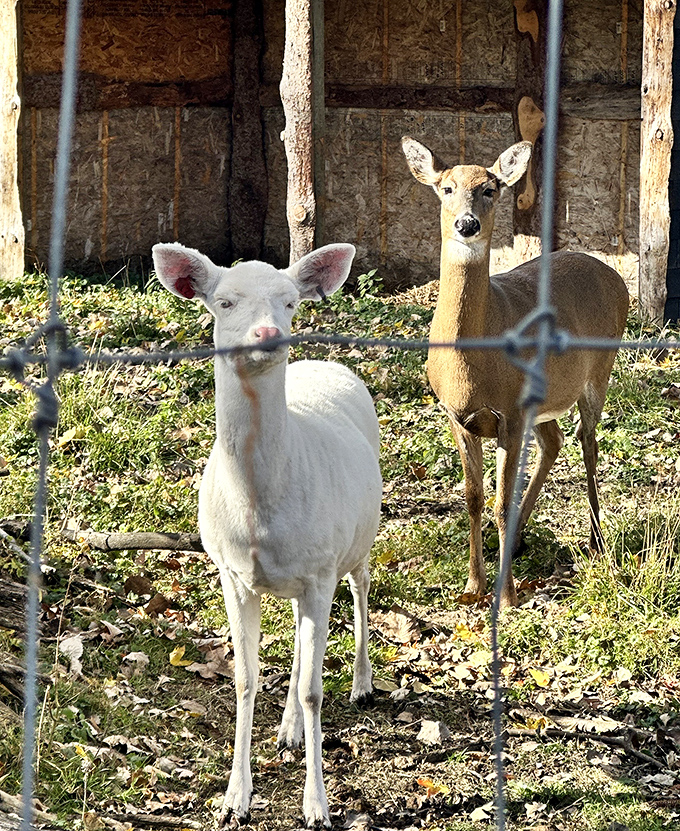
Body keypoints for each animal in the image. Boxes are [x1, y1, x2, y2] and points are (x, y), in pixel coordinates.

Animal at [152, 242, 382, 828]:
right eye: (224, 301)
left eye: (289, 301)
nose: (268, 333)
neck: (259, 510)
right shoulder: (231, 572)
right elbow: (245, 678)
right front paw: (235, 799)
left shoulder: (321, 569)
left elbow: (314, 692)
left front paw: (318, 807)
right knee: (300, 641)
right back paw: (287, 731)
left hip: (356, 538)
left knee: (361, 590)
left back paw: (362, 686)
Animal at [401, 137, 629, 608]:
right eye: (446, 188)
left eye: (490, 189)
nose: (467, 224)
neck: (472, 365)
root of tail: (616, 277)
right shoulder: (458, 415)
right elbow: (473, 497)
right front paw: (472, 585)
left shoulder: (510, 412)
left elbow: (500, 501)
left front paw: (504, 597)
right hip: (545, 399)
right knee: (555, 440)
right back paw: (520, 540)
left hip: (599, 370)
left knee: (588, 442)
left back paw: (597, 540)